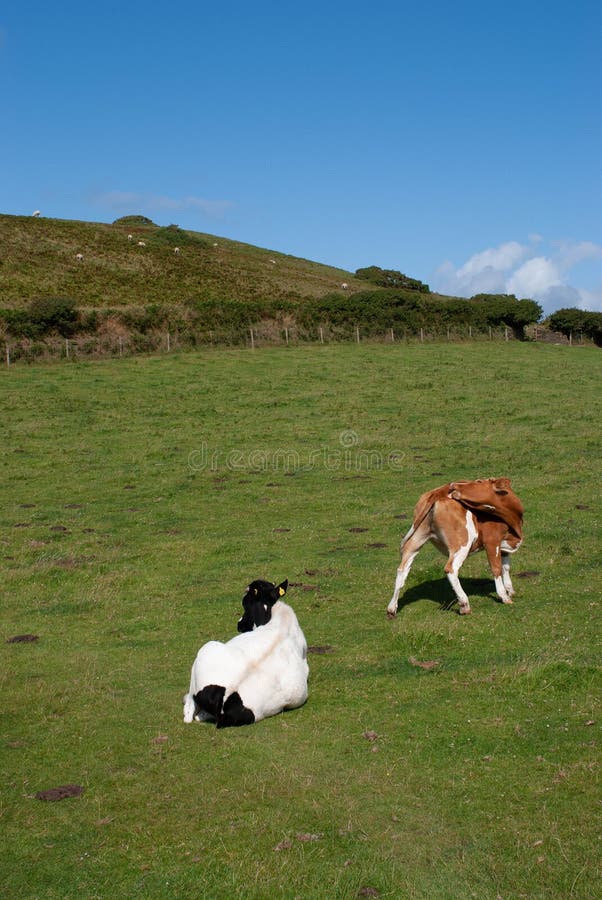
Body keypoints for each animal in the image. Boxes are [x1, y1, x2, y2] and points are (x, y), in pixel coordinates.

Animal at [387, 478, 524, 616]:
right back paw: (464, 604)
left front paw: (510, 590)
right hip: (461, 543)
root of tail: (437, 493)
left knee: (402, 570)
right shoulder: (492, 540)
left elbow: (506, 567)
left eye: (478, 481)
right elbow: (496, 568)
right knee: (451, 569)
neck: (514, 520)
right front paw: (504, 596)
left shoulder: (504, 546)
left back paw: (391, 609)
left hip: (416, 540)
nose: (453, 485)